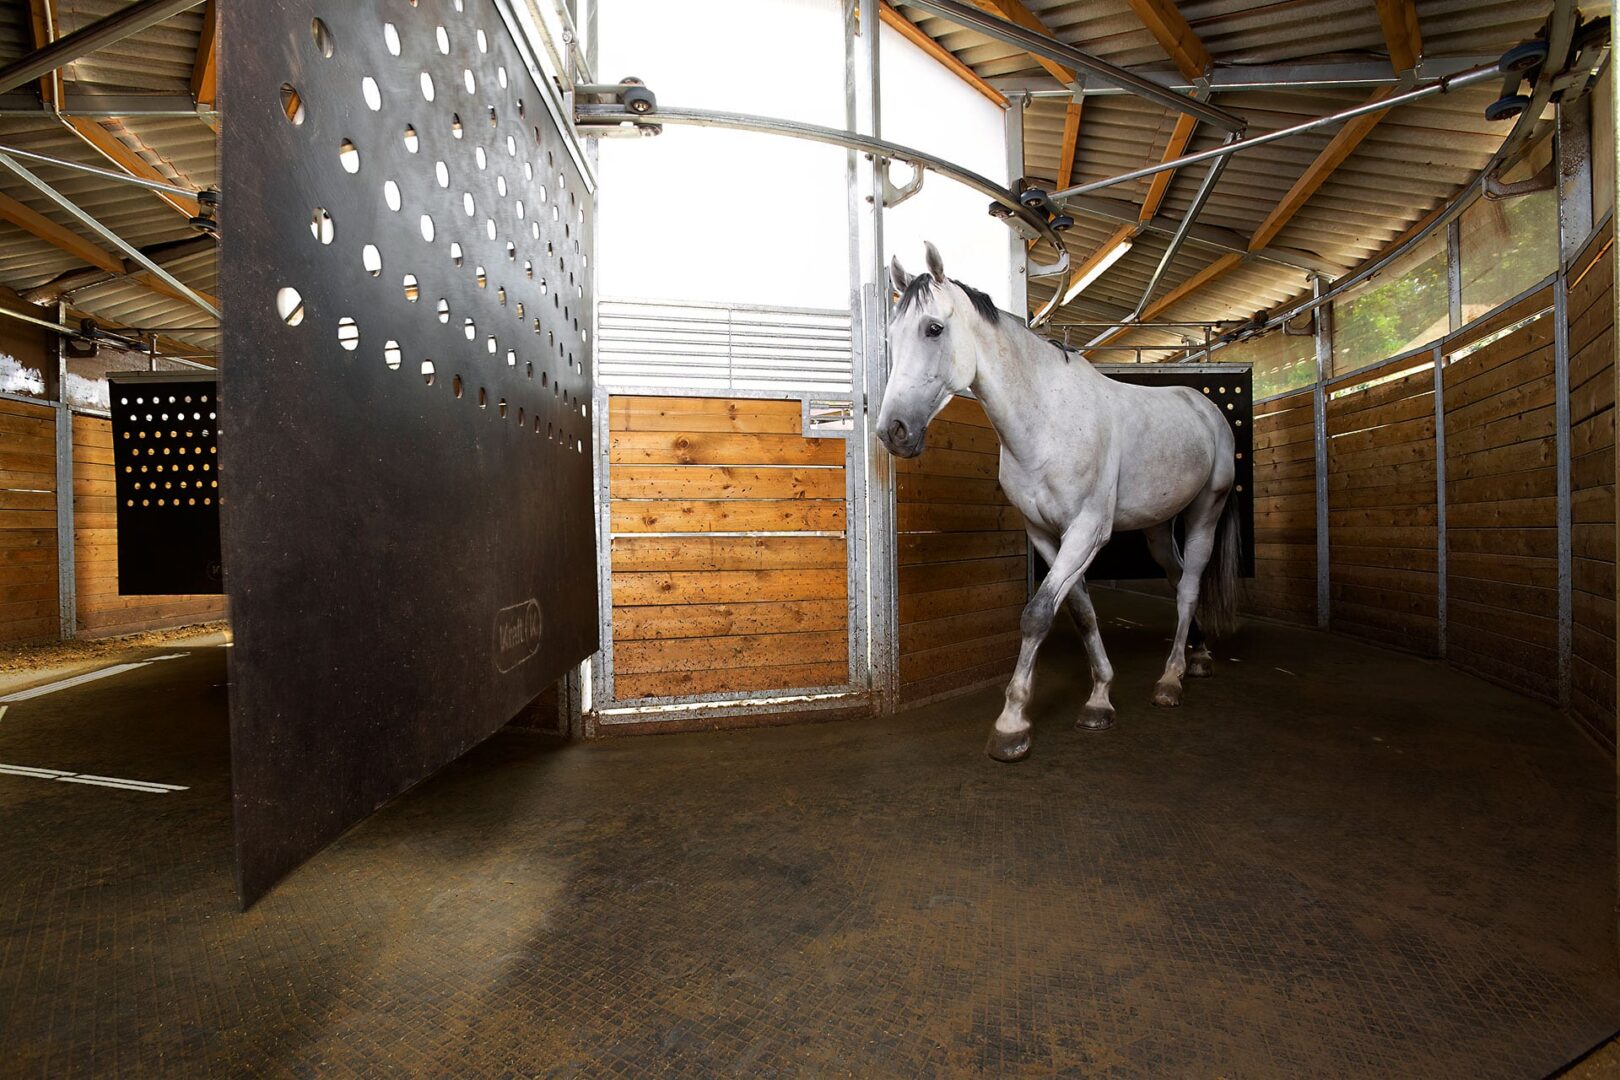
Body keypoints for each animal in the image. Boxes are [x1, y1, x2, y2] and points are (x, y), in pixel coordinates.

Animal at [877, 243, 1240, 763]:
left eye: (933, 328)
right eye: (891, 334)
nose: (893, 432)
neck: (1047, 420)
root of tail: (1206, 406)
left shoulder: (1086, 532)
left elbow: (1037, 615)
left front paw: (1011, 725)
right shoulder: (1046, 535)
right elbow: (1080, 611)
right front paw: (1100, 698)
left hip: (1206, 511)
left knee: (1190, 586)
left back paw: (1171, 680)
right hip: (1156, 526)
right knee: (1176, 579)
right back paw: (1200, 654)